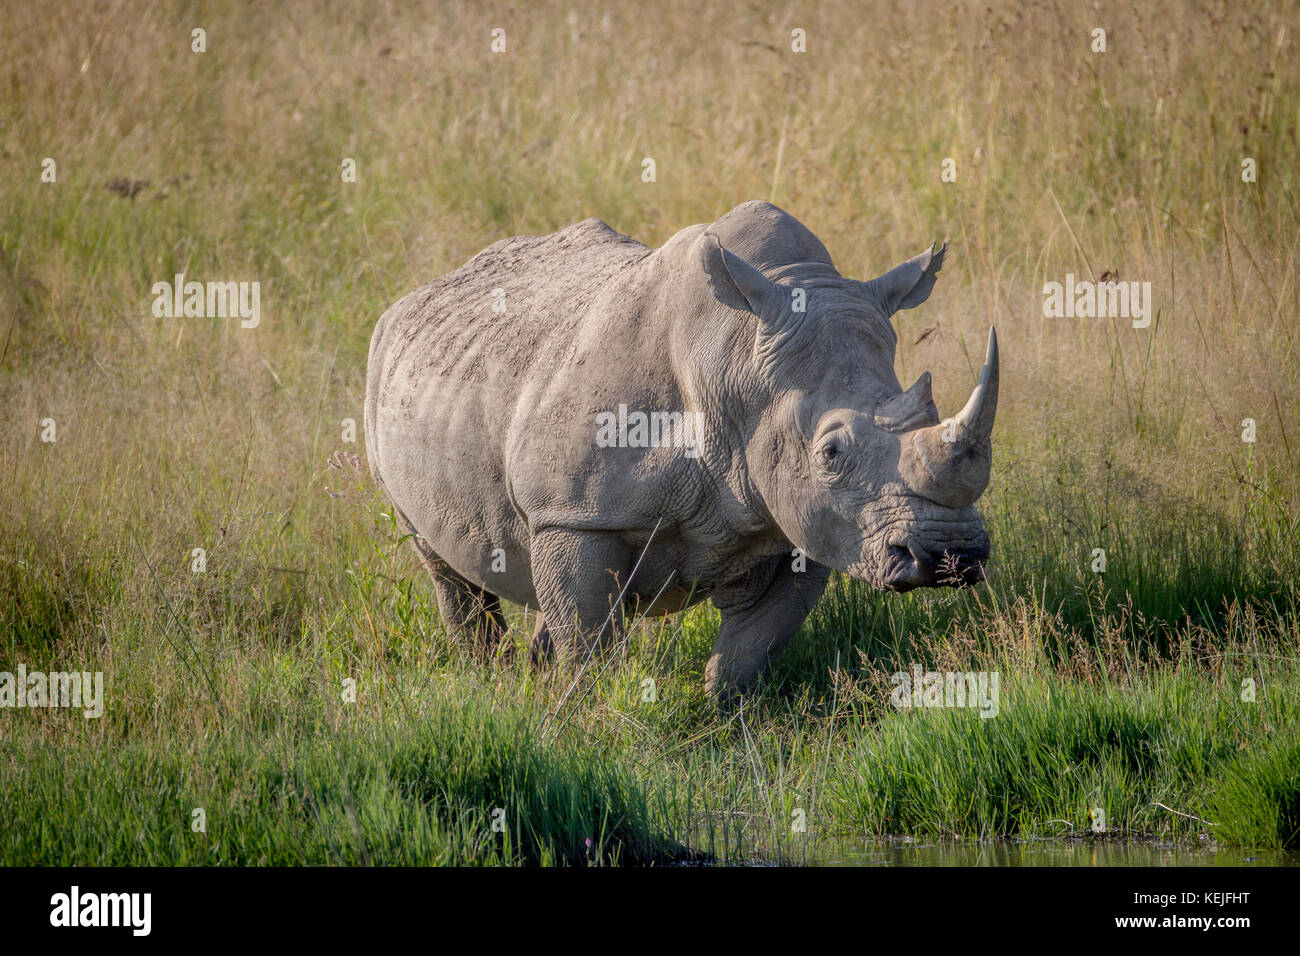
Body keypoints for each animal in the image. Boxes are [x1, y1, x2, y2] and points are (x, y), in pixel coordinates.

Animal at [364, 201, 997, 701]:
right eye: (832, 453)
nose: (952, 555)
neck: (735, 367)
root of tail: (419, 293)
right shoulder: (574, 516)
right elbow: (590, 646)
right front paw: (589, 717)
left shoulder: (808, 527)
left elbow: (748, 654)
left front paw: (725, 720)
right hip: (386, 376)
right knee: (443, 565)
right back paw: (487, 679)